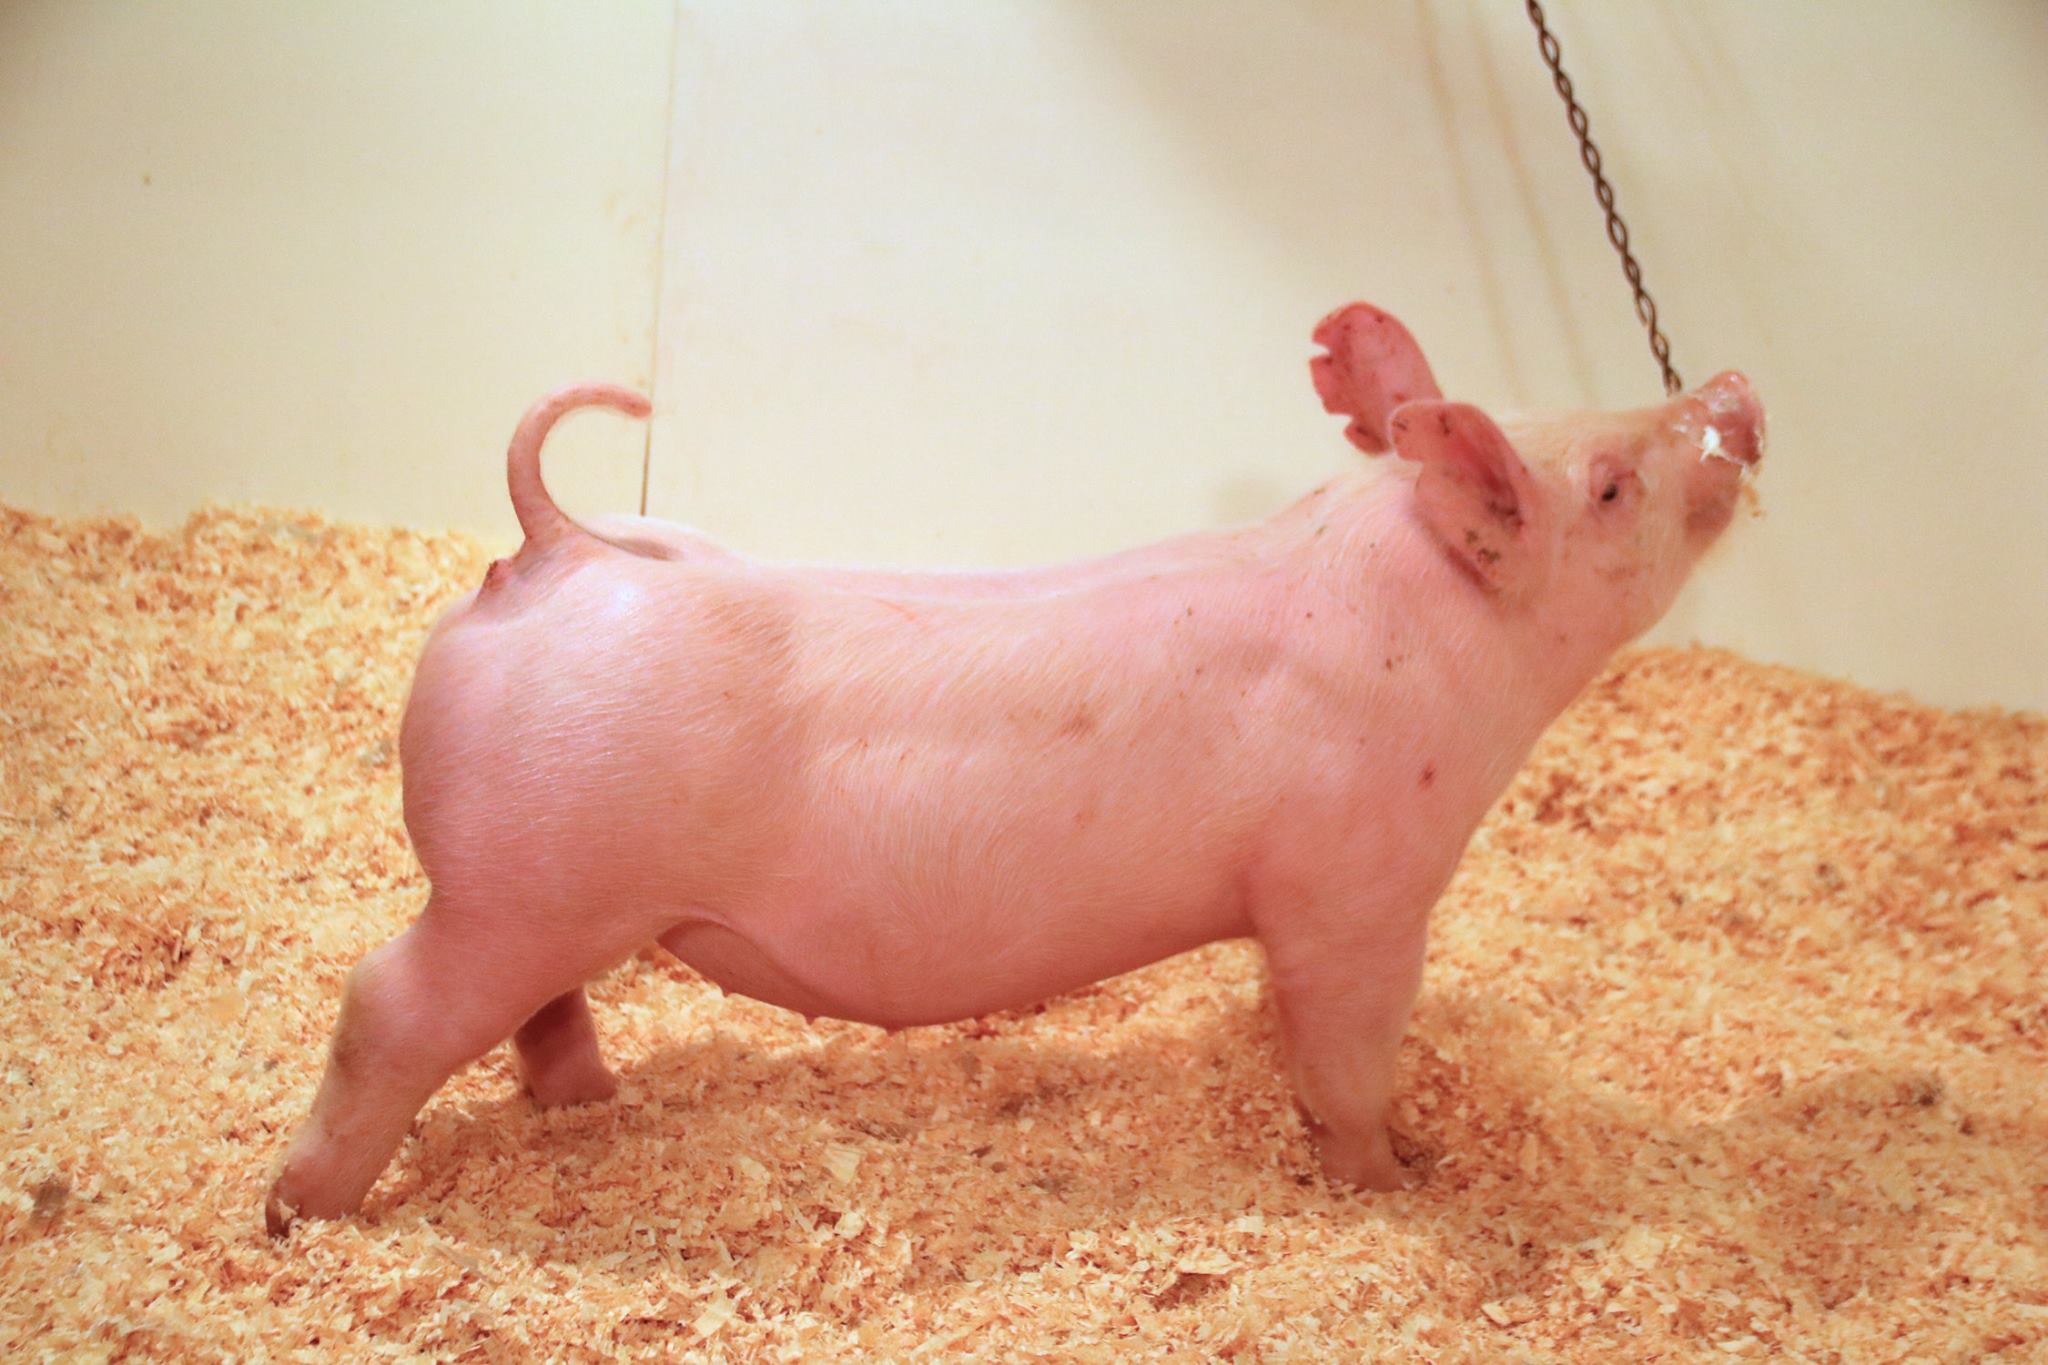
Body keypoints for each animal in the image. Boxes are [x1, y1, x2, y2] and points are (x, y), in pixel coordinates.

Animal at [266, 303, 1763, 1233]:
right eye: (1612, 481)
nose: (1730, 393)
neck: (1427, 625)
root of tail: (556, 545)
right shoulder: (1356, 895)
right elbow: (1344, 1056)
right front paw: (1388, 1183)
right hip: (508, 892)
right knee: (384, 1001)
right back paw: (301, 1216)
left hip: (553, 896)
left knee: (537, 1013)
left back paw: (593, 1105)